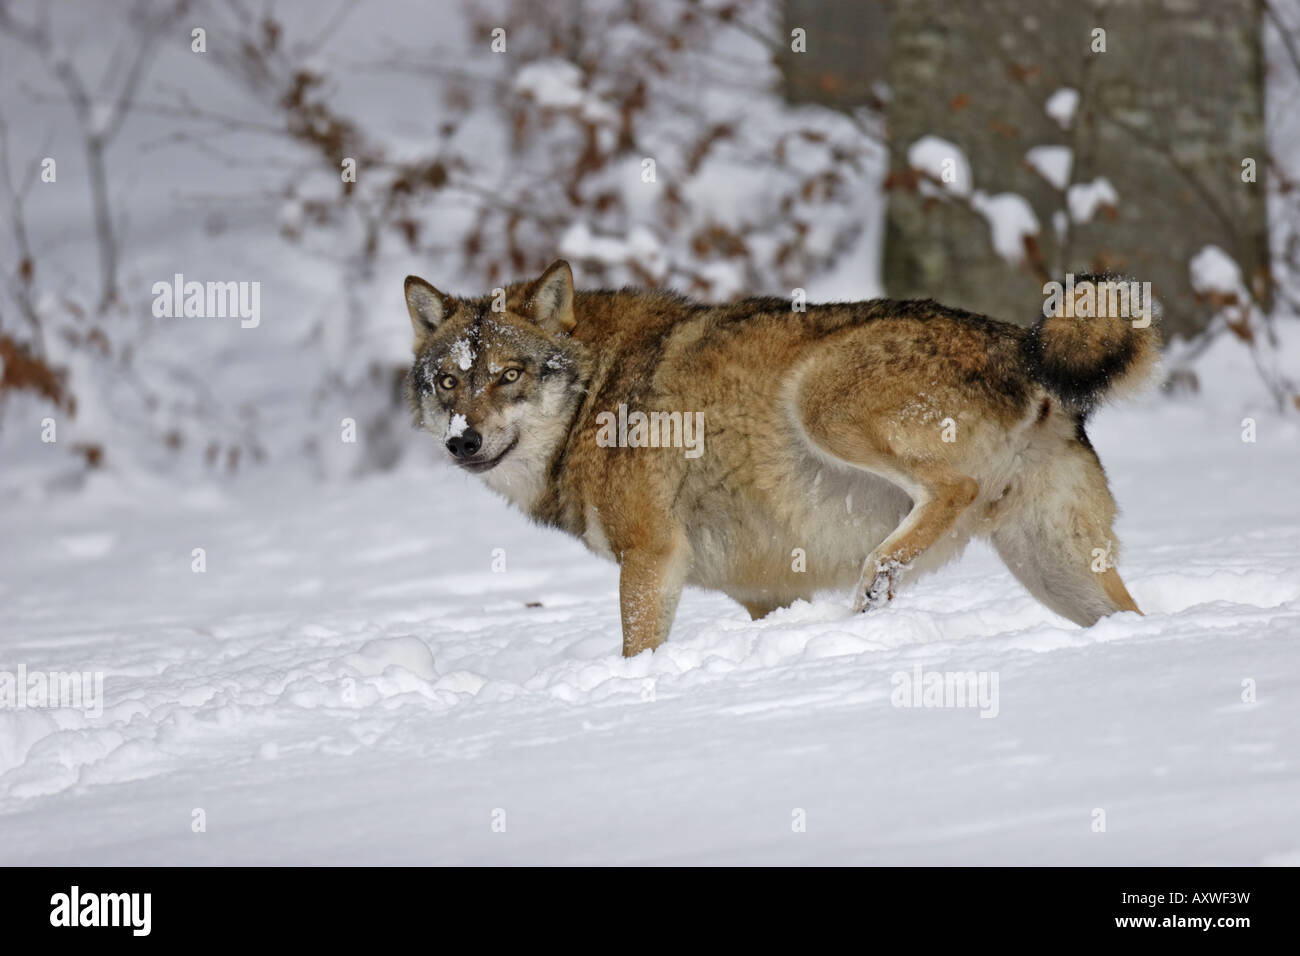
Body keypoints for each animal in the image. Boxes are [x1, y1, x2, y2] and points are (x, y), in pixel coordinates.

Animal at [403, 261, 1158, 656]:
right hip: (1056, 571)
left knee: (954, 490)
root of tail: (1019, 342)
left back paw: (875, 583)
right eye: (449, 381)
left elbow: (636, 647)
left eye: (508, 376)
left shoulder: (650, 556)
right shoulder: (765, 594)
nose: (462, 441)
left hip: (821, 398)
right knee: (1130, 614)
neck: (598, 393)